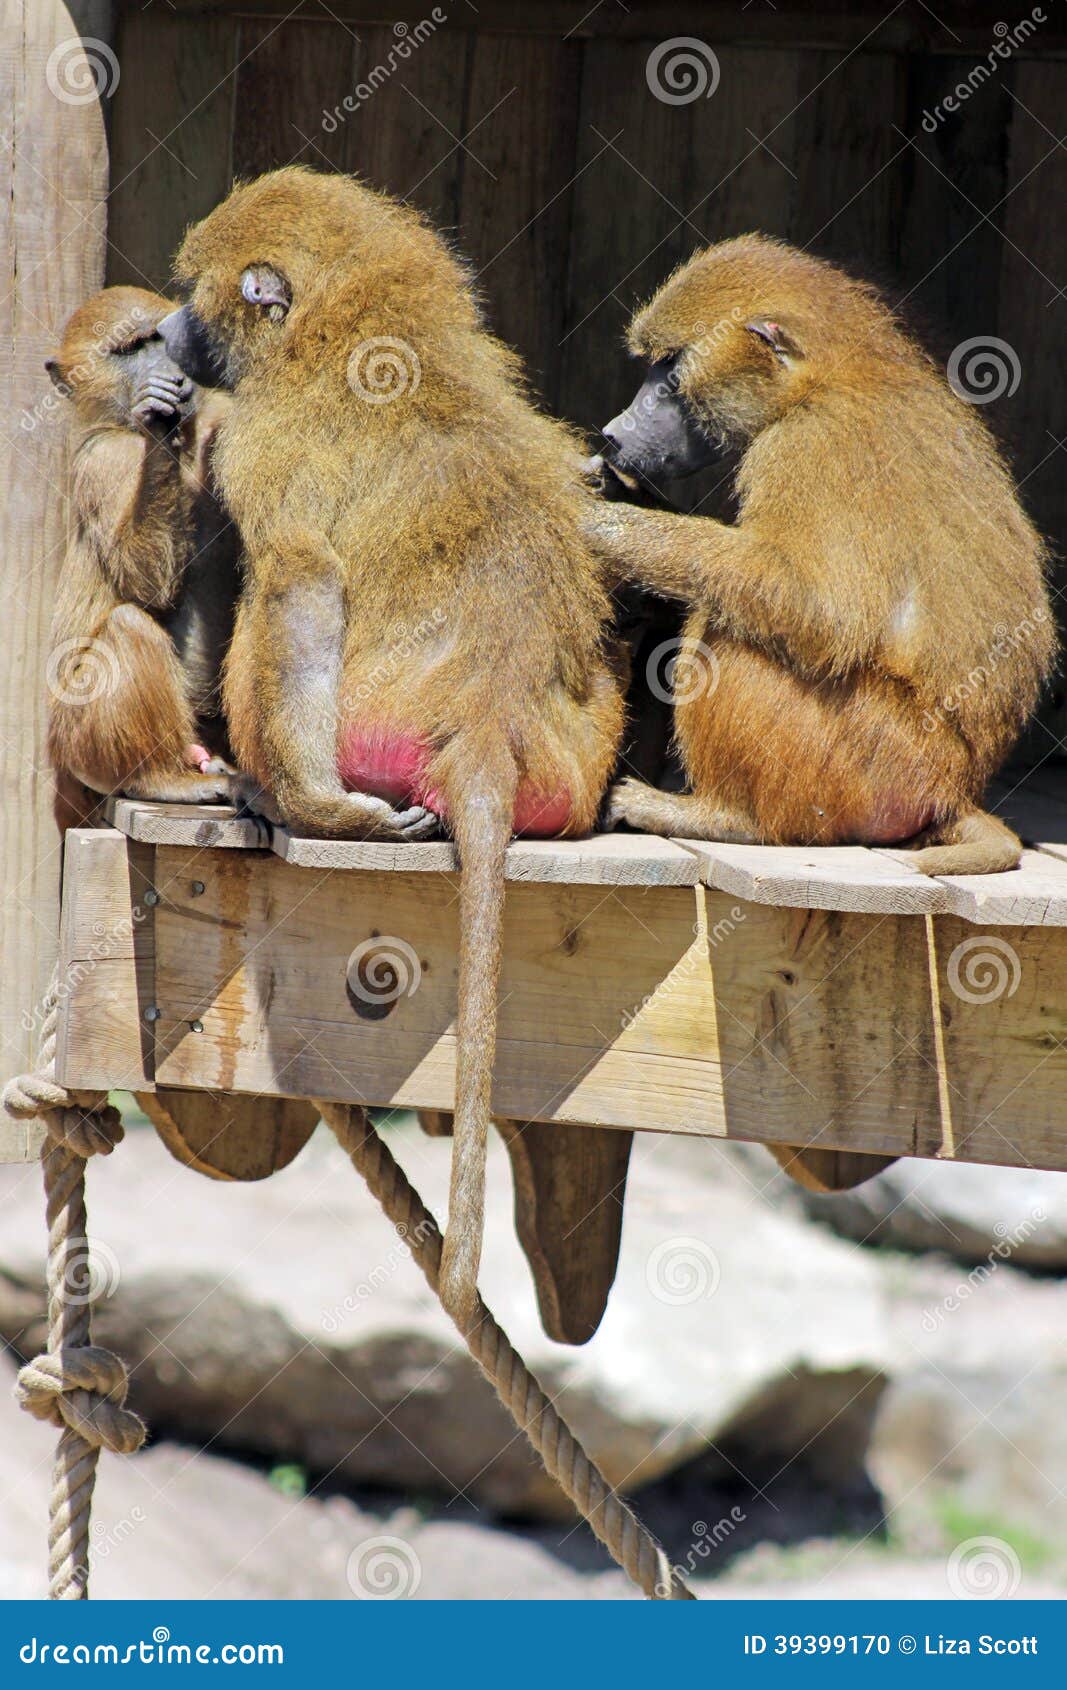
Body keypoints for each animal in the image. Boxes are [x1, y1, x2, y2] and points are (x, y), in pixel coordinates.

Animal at [45, 286, 242, 811]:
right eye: (128, 349)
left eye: (158, 337)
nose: (171, 376)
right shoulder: (104, 461)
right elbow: (146, 584)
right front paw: (157, 424)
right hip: (80, 742)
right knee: (127, 629)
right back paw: (160, 779)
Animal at [157, 166, 625, 1319]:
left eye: (192, 294)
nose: (165, 326)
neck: (359, 330)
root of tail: (490, 722)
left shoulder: (263, 438)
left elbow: (301, 578)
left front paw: (315, 804)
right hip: (567, 756)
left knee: (282, 605)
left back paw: (279, 797)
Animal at [585, 235, 1055, 877]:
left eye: (671, 370)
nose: (614, 432)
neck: (826, 379)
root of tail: (953, 786)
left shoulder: (810, 444)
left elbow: (820, 610)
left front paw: (603, 525)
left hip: (872, 760)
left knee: (732, 629)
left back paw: (725, 817)